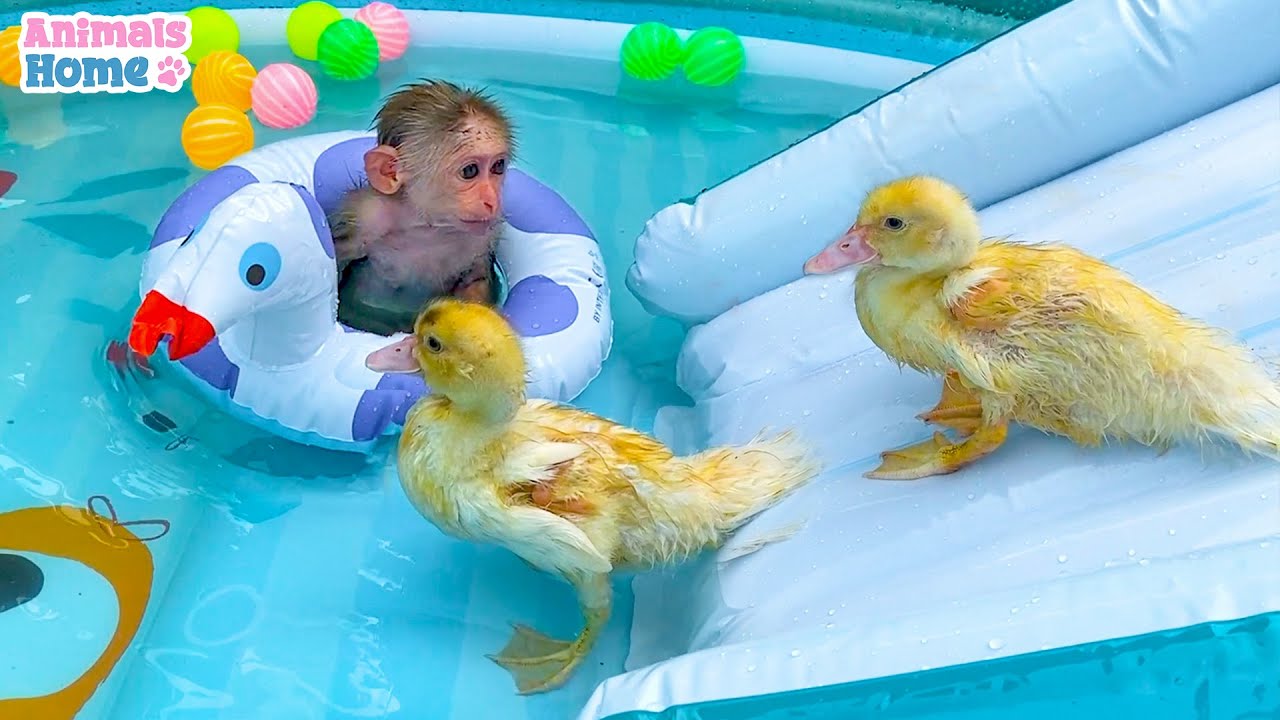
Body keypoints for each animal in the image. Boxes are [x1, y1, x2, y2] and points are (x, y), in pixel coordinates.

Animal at [332, 79, 514, 336]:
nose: (492, 199)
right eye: (470, 171)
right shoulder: (366, 216)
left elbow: (475, 280)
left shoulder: (486, 232)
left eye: (498, 166)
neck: (427, 225)